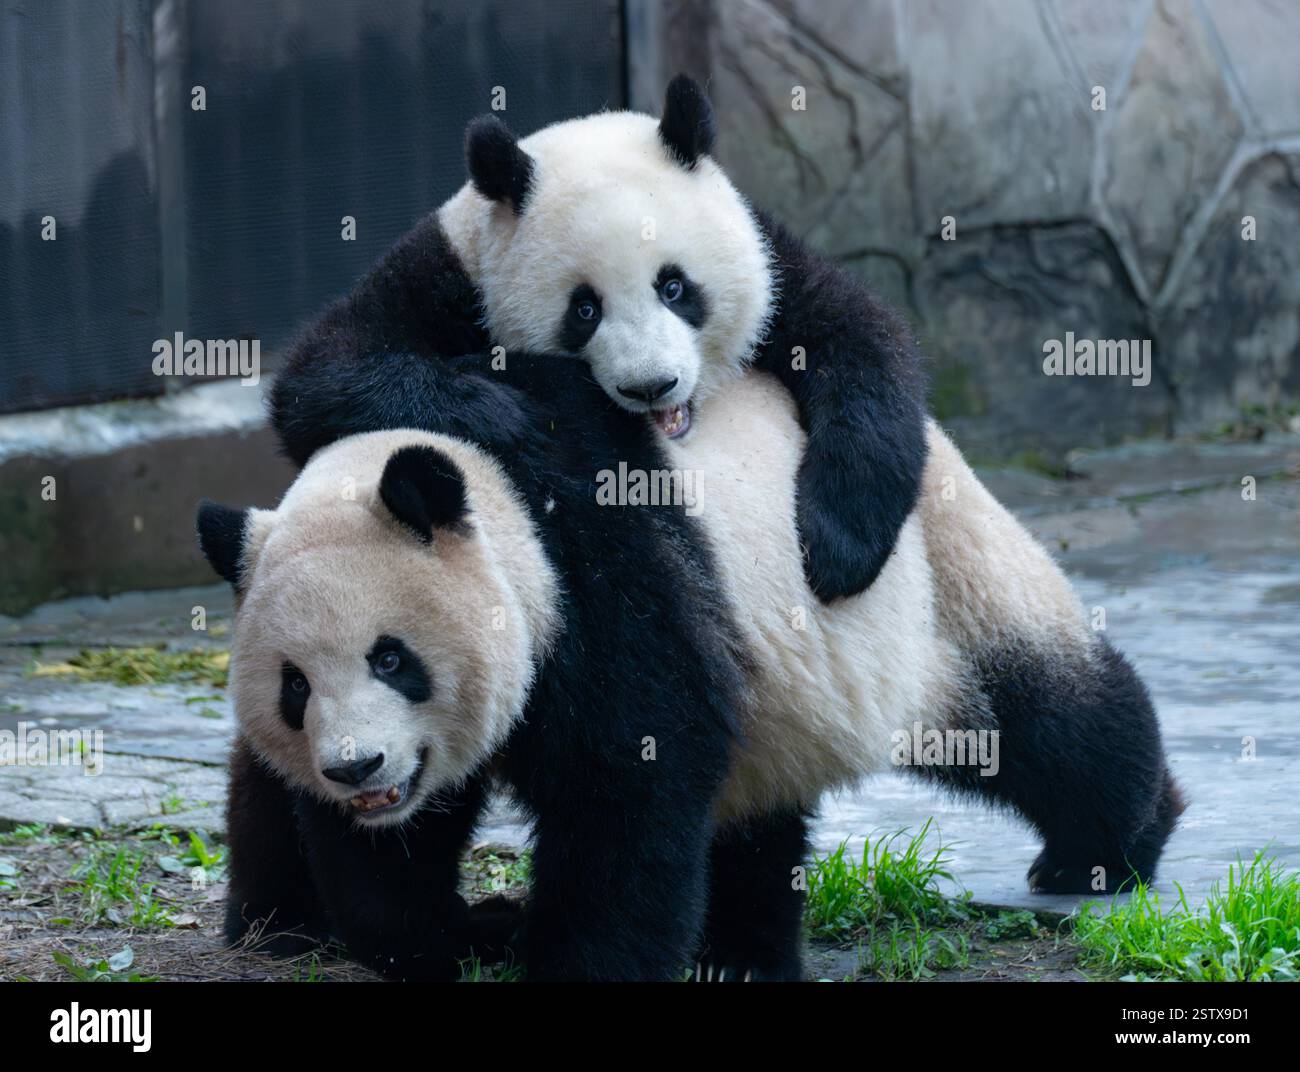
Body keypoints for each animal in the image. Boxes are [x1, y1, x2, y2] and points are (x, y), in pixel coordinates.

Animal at [205, 353, 1182, 983]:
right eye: (294, 686)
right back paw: (742, 955)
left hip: (934, 582)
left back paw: (1115, 841)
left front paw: (571, 960)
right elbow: (363, 837)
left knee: (1037, 715)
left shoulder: (601, 567)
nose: (358, 767)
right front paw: (431, 930)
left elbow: (635, 777)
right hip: (794, 688)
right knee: (763, 799)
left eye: (392, 657)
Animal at [271, 75, 927, 607]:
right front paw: (506, 411)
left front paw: (841, 547)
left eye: (674, 286)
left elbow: (861, 338)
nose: (651, 386)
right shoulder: (445, 272)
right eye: (584, 309)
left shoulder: (772, 263)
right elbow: (321, 376)